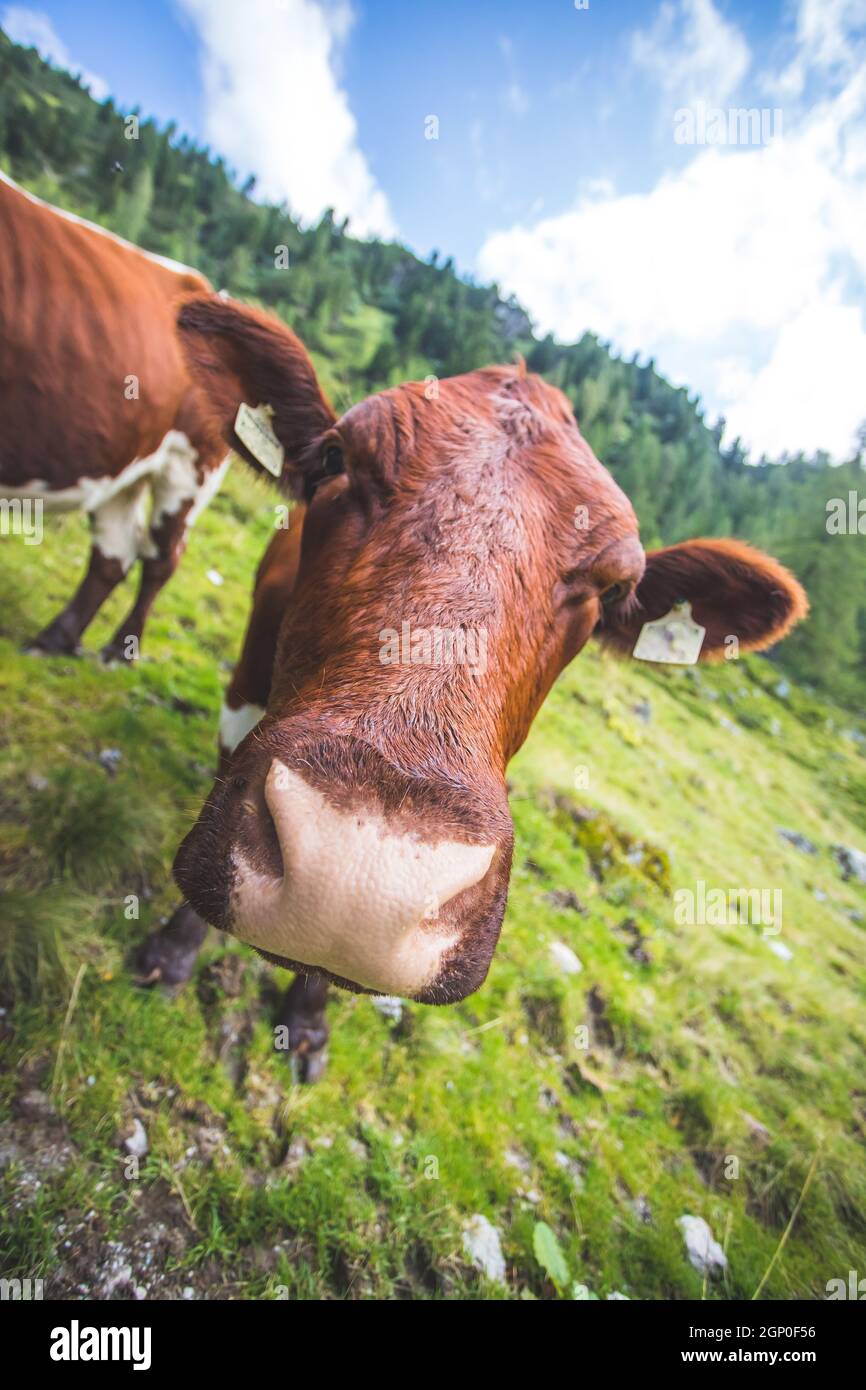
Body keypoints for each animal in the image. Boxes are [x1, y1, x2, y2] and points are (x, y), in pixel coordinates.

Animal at [0, 170, 229, 660]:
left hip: (188, 468)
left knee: (162, 557)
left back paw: (117, 653)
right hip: (127, 455)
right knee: (115, 551)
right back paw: (55, 639)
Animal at [136, 292, 807, 1081]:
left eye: (616, 587)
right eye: (335, 458)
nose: (356, 880)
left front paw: (306, 1020)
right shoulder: (245, 688)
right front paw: (172, 952)